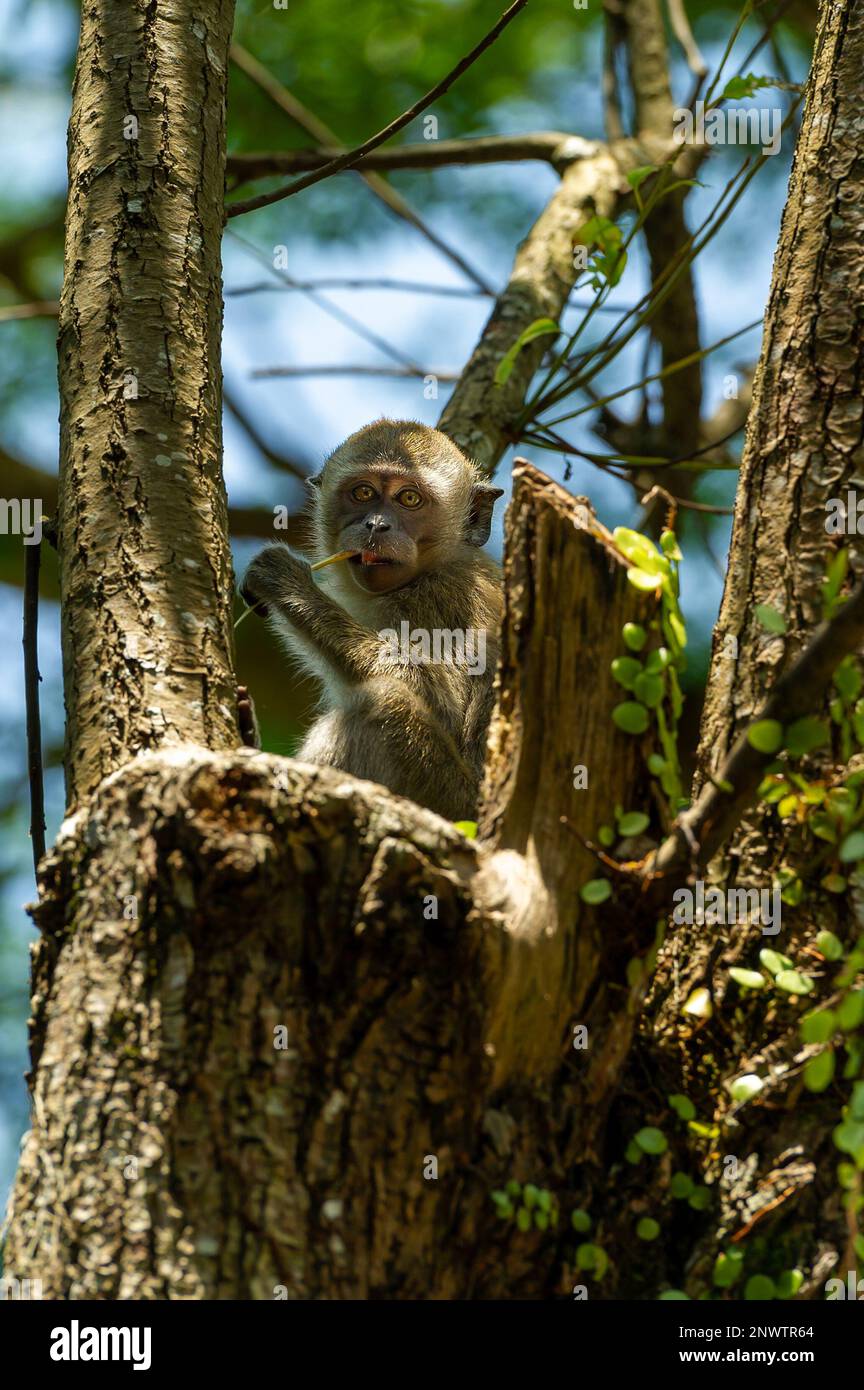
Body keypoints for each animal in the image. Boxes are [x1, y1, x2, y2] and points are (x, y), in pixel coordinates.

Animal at [240, 419, 504, 821]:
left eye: (409, 499)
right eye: (363, 493)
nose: (376, 525)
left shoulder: (442, 600)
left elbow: (439, 701)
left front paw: (289, 583)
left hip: (449, 802)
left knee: (382, 701)